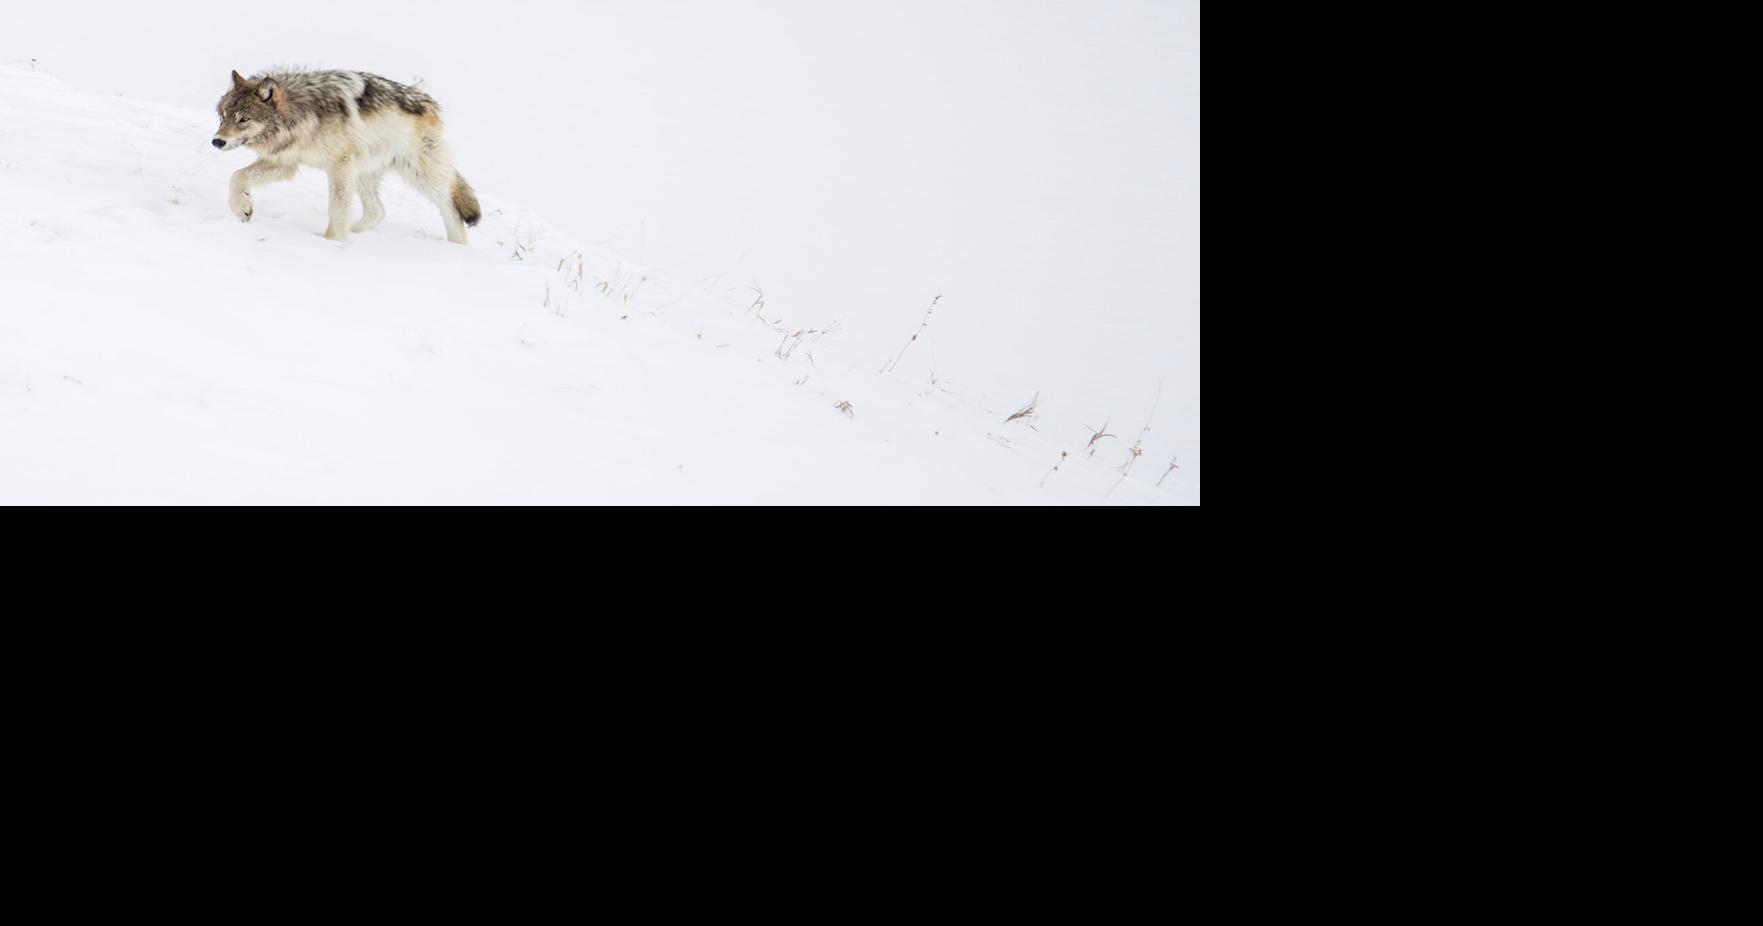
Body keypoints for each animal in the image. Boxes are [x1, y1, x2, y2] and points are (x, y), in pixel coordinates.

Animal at [213, 69, 481, 245]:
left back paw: (457, 248)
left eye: (243, 119)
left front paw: (332, 242)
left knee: (450, 206)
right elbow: (237, 177)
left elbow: (338, 207)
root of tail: (429, 102)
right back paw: (354, 232)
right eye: (223, 117)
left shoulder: (339, 165)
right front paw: (242, 209)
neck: (304, 114)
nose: (217, 141)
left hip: (418, 175)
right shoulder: (285, 162)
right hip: (362, 174)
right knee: (378, 211)